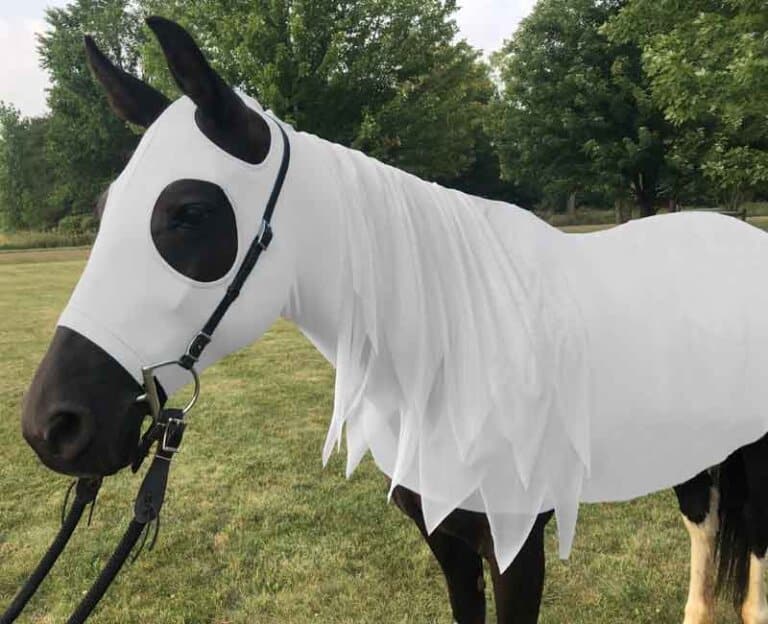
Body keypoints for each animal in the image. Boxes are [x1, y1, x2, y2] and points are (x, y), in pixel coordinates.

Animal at [16, 16, 768, 624]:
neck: (455, 352)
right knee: (704, 540)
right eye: (105, 208)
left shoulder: (515, 547)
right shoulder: (447, 540)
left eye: (190, 213)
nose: (53, 426)